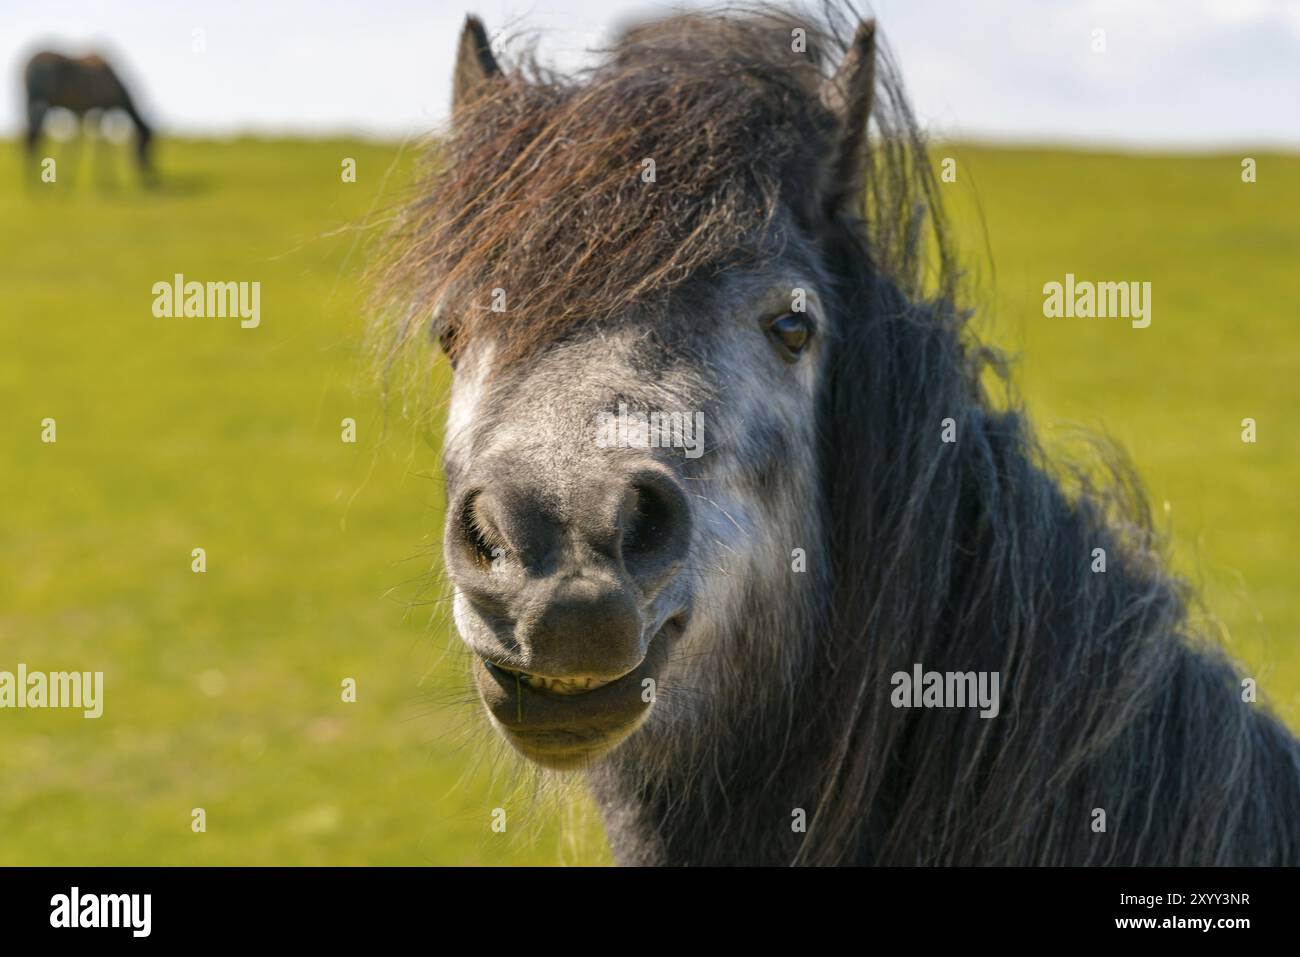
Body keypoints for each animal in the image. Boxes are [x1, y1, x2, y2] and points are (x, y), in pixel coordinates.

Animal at [23, 50, 154, 180]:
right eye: (146, 142)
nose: (146, 168)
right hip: (40, 100)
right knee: (33, 134)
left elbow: (79, 138)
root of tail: (29, 64)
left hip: (33, 101)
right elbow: (100, 139)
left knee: (32, 134)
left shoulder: (83, 111)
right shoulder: (100, 108)